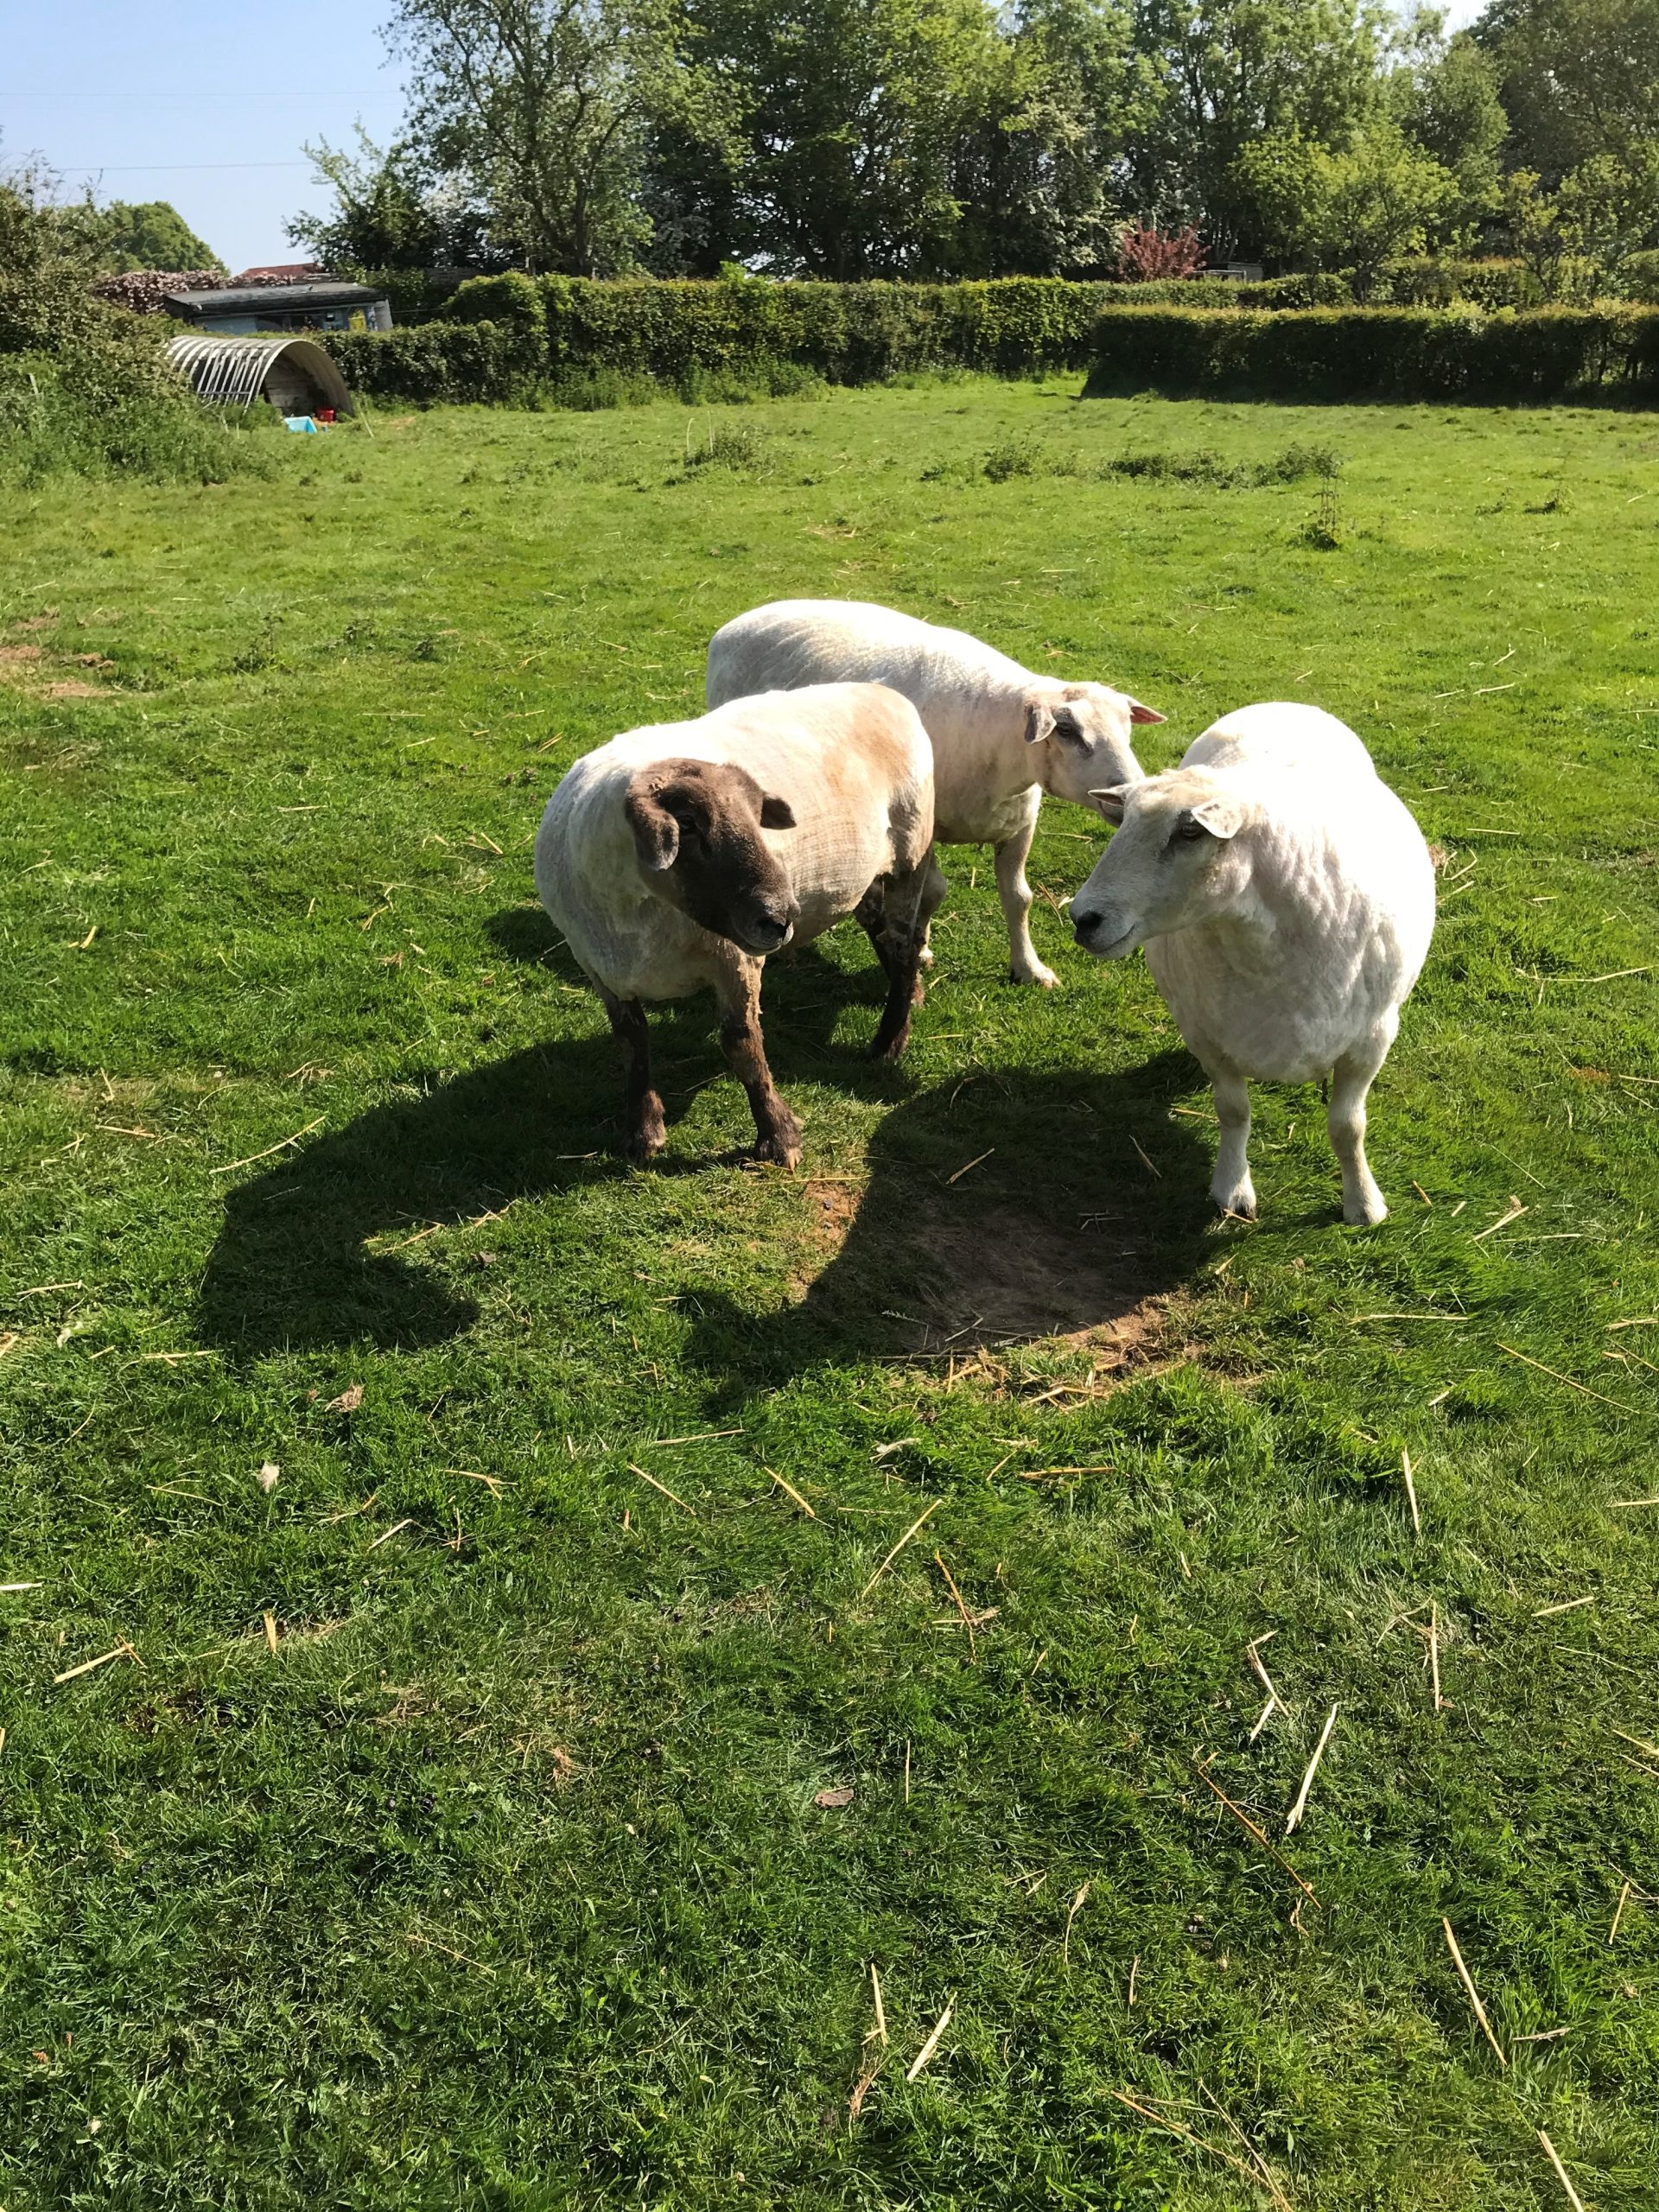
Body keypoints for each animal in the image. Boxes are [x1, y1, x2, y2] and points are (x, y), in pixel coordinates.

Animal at [535, 683, 936, 1169]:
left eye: (757, 815)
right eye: (687, 824)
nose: (783, 917)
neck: (639, 915)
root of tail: (883, 691)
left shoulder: (735, 960)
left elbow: (743, 1047)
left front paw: (779, 1137)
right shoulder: (600, 970)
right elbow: (632, 1044)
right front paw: (643, 1130)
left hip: (910, 855)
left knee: (904, 946)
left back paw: (889, 1042)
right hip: (864, 878)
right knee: (881, 932)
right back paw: (908, 998)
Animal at [706, 598, 1163, 990]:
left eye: (1128, 726)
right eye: (1067, 731)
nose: (1126, 795)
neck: (999, 741)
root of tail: (739, 622)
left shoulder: (1019, 825)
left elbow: (1019, 899)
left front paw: (1029, 968)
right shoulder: (920, 827)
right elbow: (933, 892)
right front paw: (919, 950)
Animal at [1069, 703, 1435, 1224]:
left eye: (1188, 832)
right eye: (1123, 823)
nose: (1082, 918)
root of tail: (1283, 703)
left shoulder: (1372, 1038)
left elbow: (1348, 1127)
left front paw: (1363, 1202)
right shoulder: (1206, 1034)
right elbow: (1233, 1112)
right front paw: (1233, 1188)